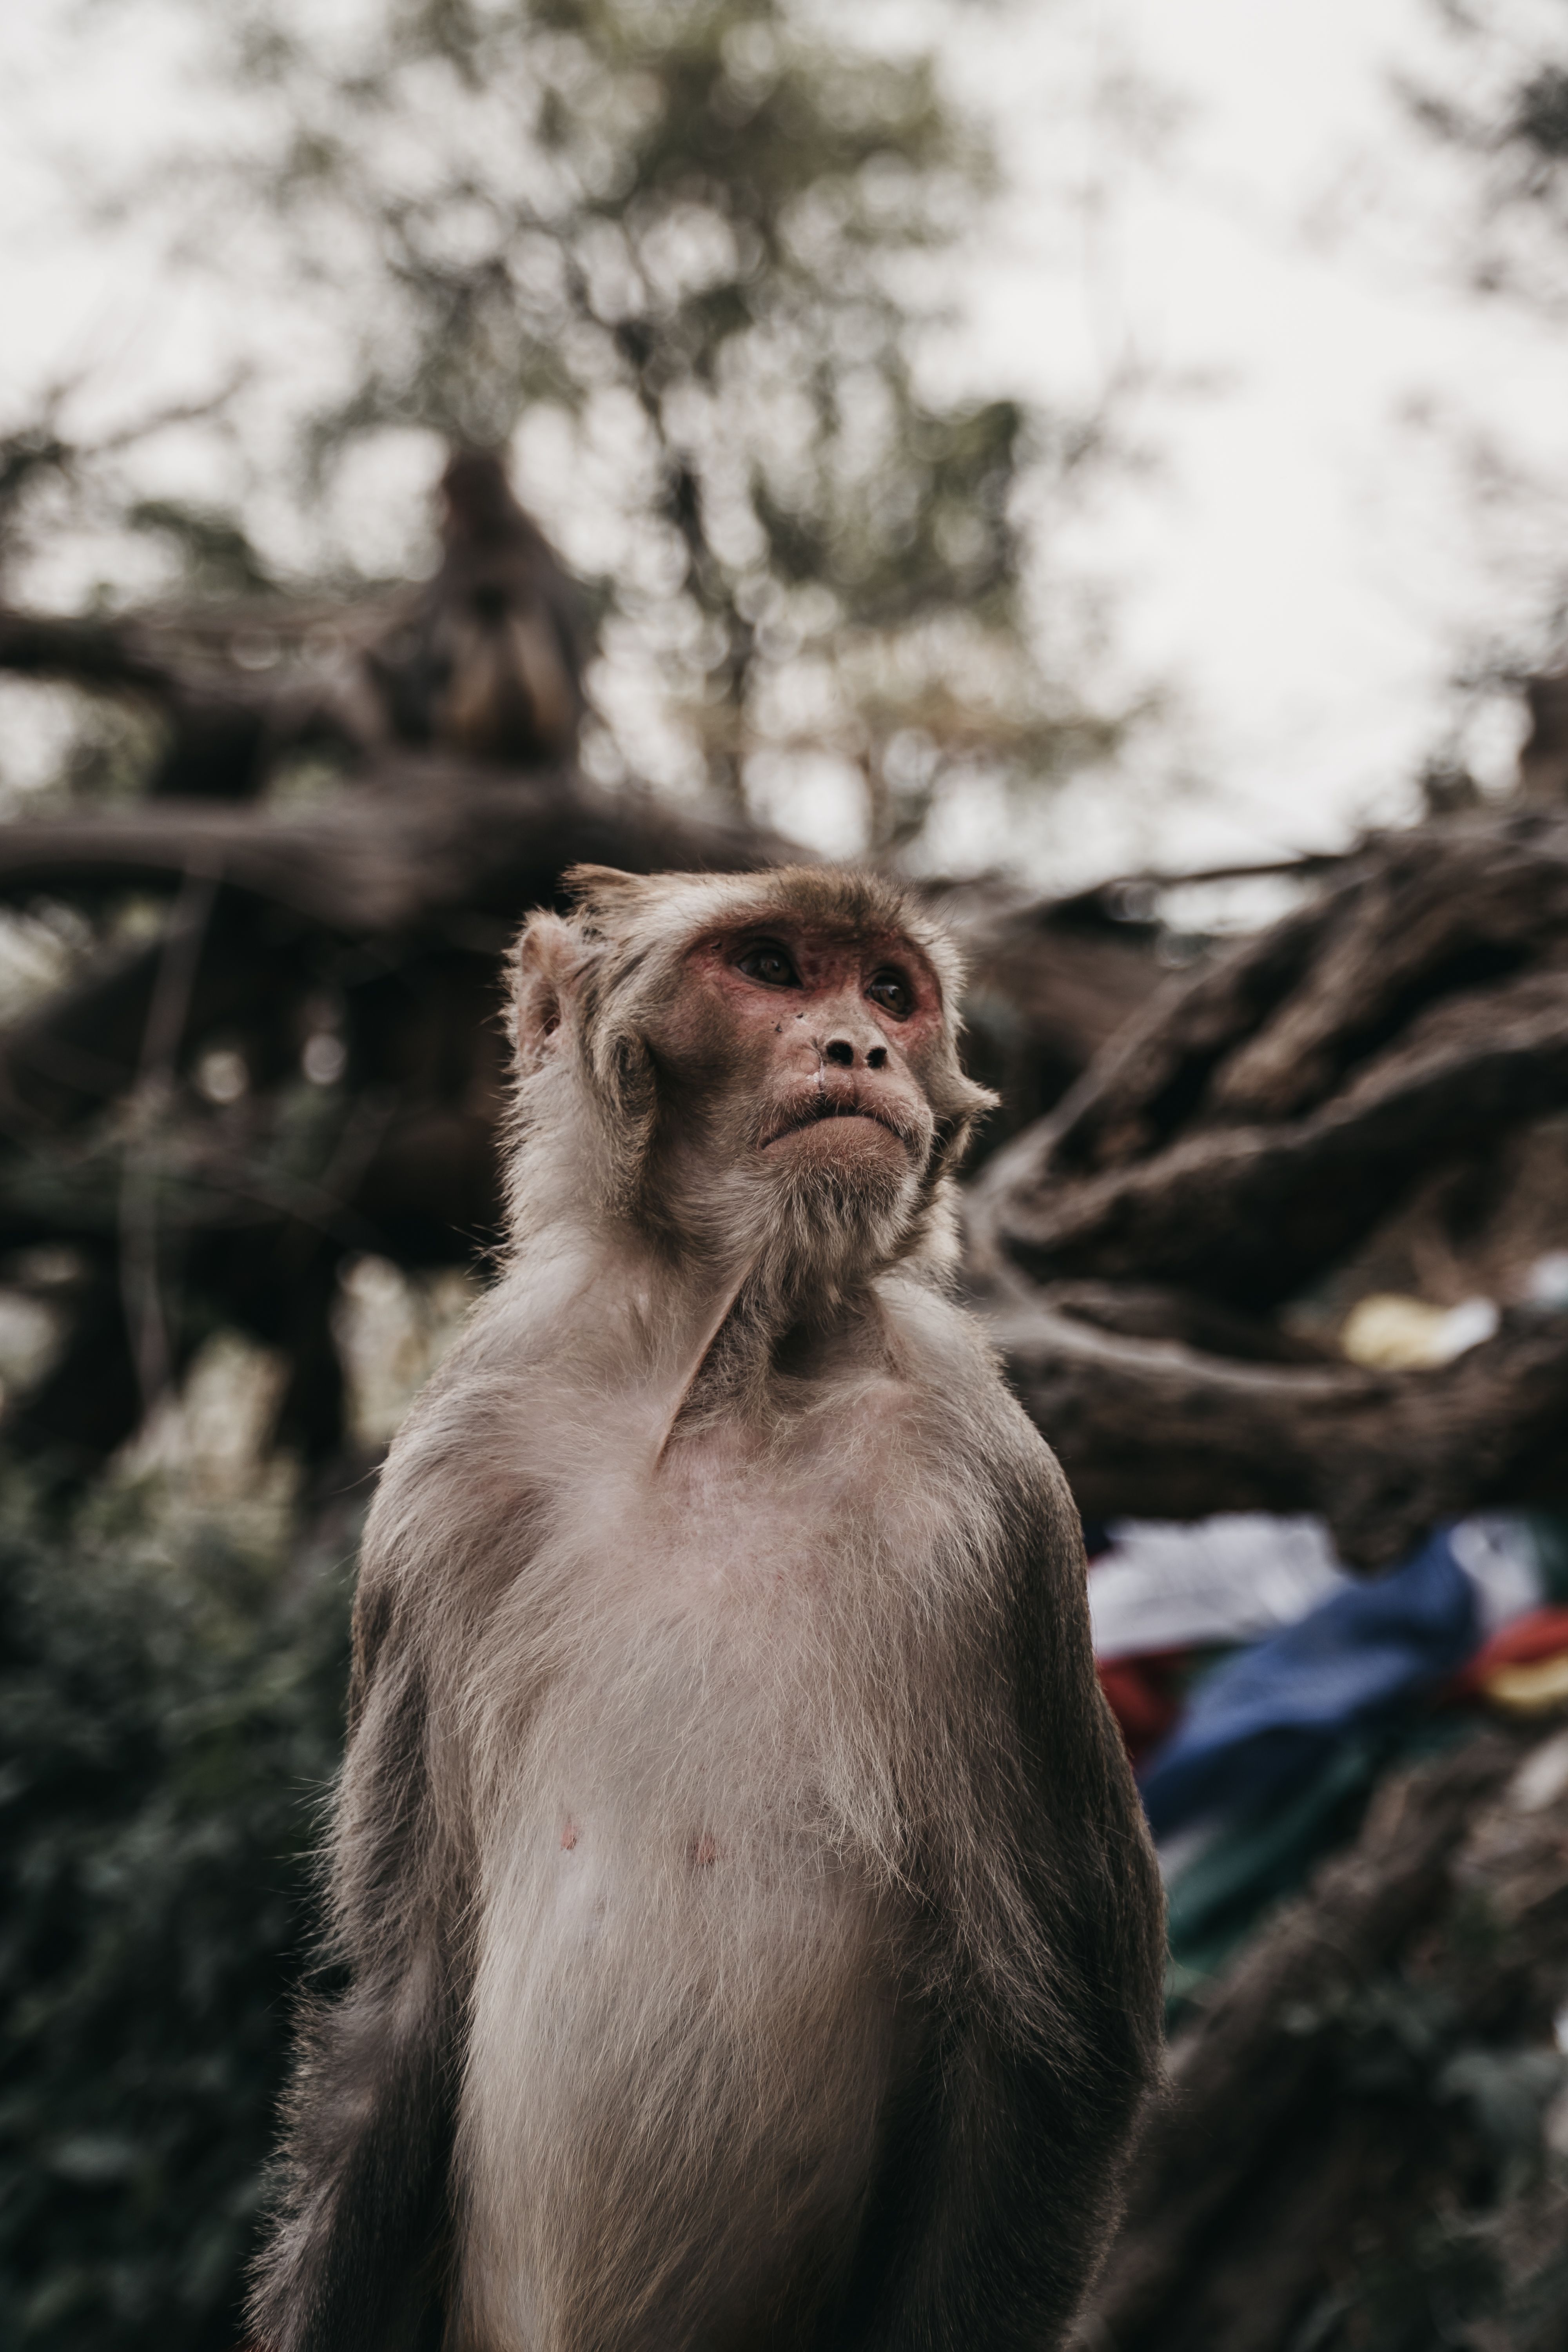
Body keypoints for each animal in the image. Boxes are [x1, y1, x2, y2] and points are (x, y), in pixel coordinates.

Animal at [249, 863, 1164, 2352]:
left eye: (891, 990)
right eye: (775, 967)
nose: (859, 1047)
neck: (724, 1384)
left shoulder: (998, 1502)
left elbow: (1058, 2039)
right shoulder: (447, 1480)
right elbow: (403, 1997)